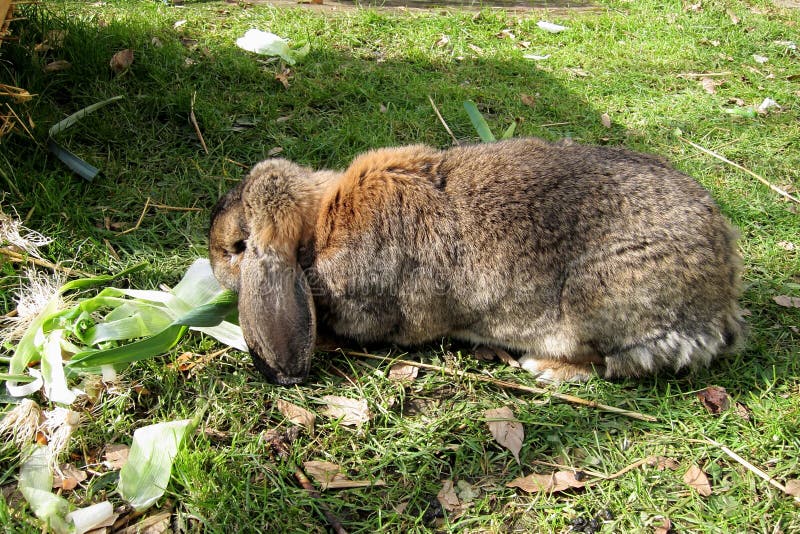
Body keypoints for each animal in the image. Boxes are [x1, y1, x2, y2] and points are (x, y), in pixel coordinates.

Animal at [209, 138, 745, 386]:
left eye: (237, 246)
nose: (212, 264)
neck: (320, 224)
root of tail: (718, 304)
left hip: (600, 306)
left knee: (609, 361)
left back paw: (546, 369)